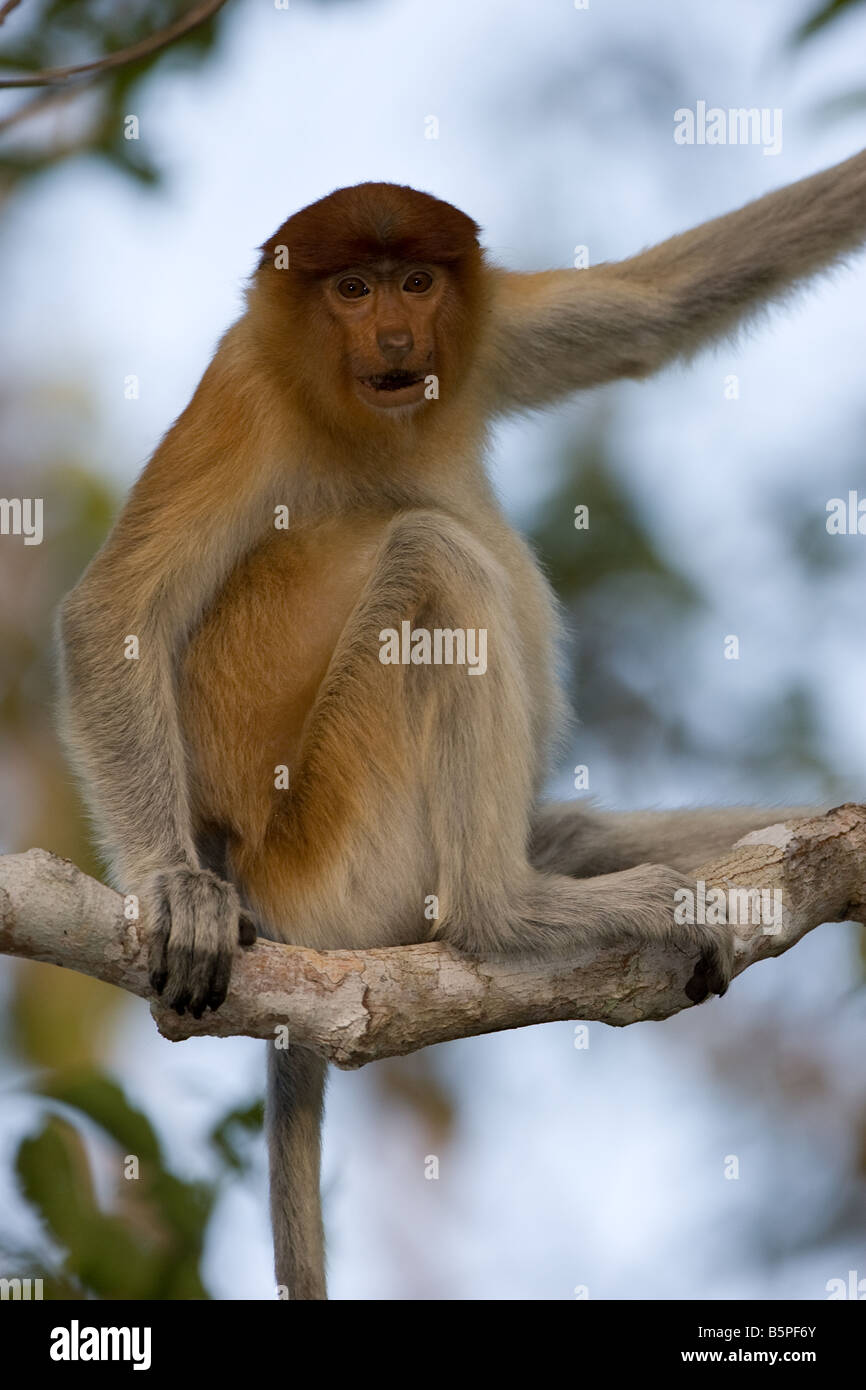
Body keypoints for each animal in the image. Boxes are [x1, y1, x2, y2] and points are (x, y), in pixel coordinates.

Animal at [57, 155, 866, 1300]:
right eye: (352, 290)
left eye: (415, 282)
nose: (397, 340)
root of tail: (252, 868)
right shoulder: (245, 391)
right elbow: (113, 616)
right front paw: (178, 898)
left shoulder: (482, 338)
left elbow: (656, 307)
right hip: (338, 856)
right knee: (437, 557)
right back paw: (509, 911)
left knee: (566, 822)